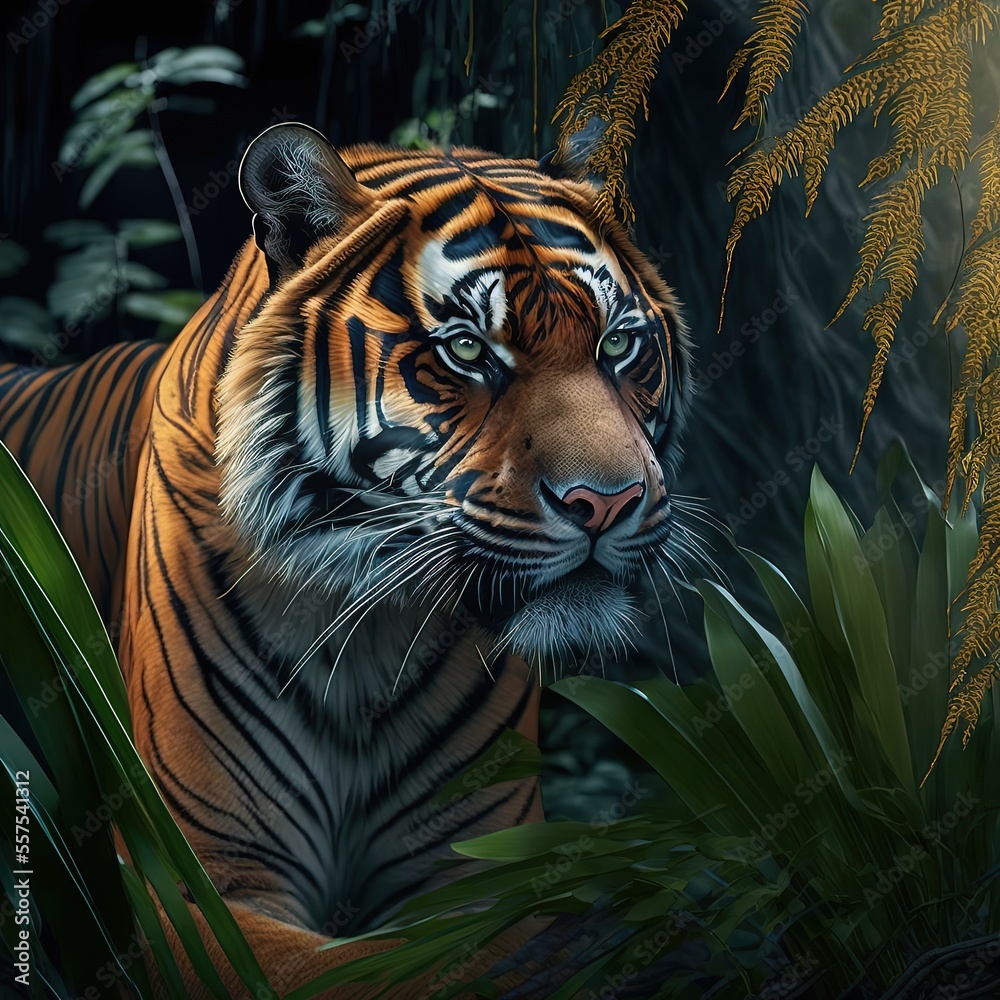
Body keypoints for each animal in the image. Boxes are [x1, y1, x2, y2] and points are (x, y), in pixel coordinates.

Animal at [0, 122, 689, 997]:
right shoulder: (191, 882)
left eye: (619, 343)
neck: (368, 631)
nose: (607, 501)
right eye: (468, 350)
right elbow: (376, 971)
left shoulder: (474, 862)